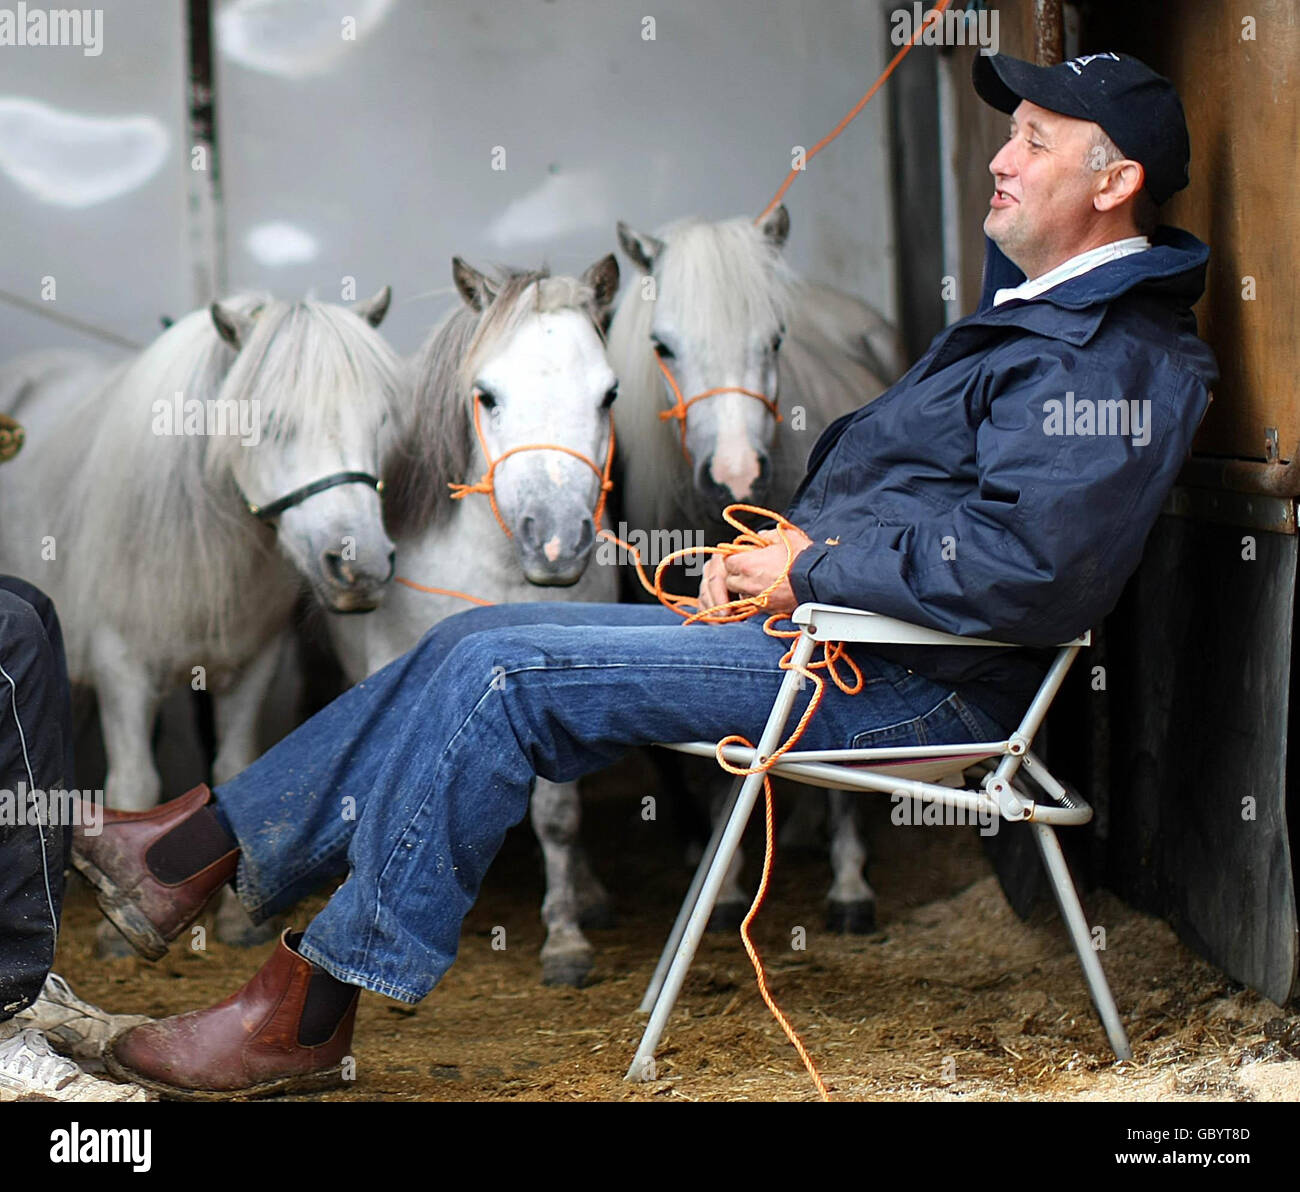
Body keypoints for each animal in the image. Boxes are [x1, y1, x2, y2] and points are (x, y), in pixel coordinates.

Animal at [0, 288, 400, 941]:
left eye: (381, 421)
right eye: (268, 423)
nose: (360, 565)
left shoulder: (253, 664)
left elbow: (234, 765)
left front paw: (238, 920)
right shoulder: (122, 668)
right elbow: (135, 782)